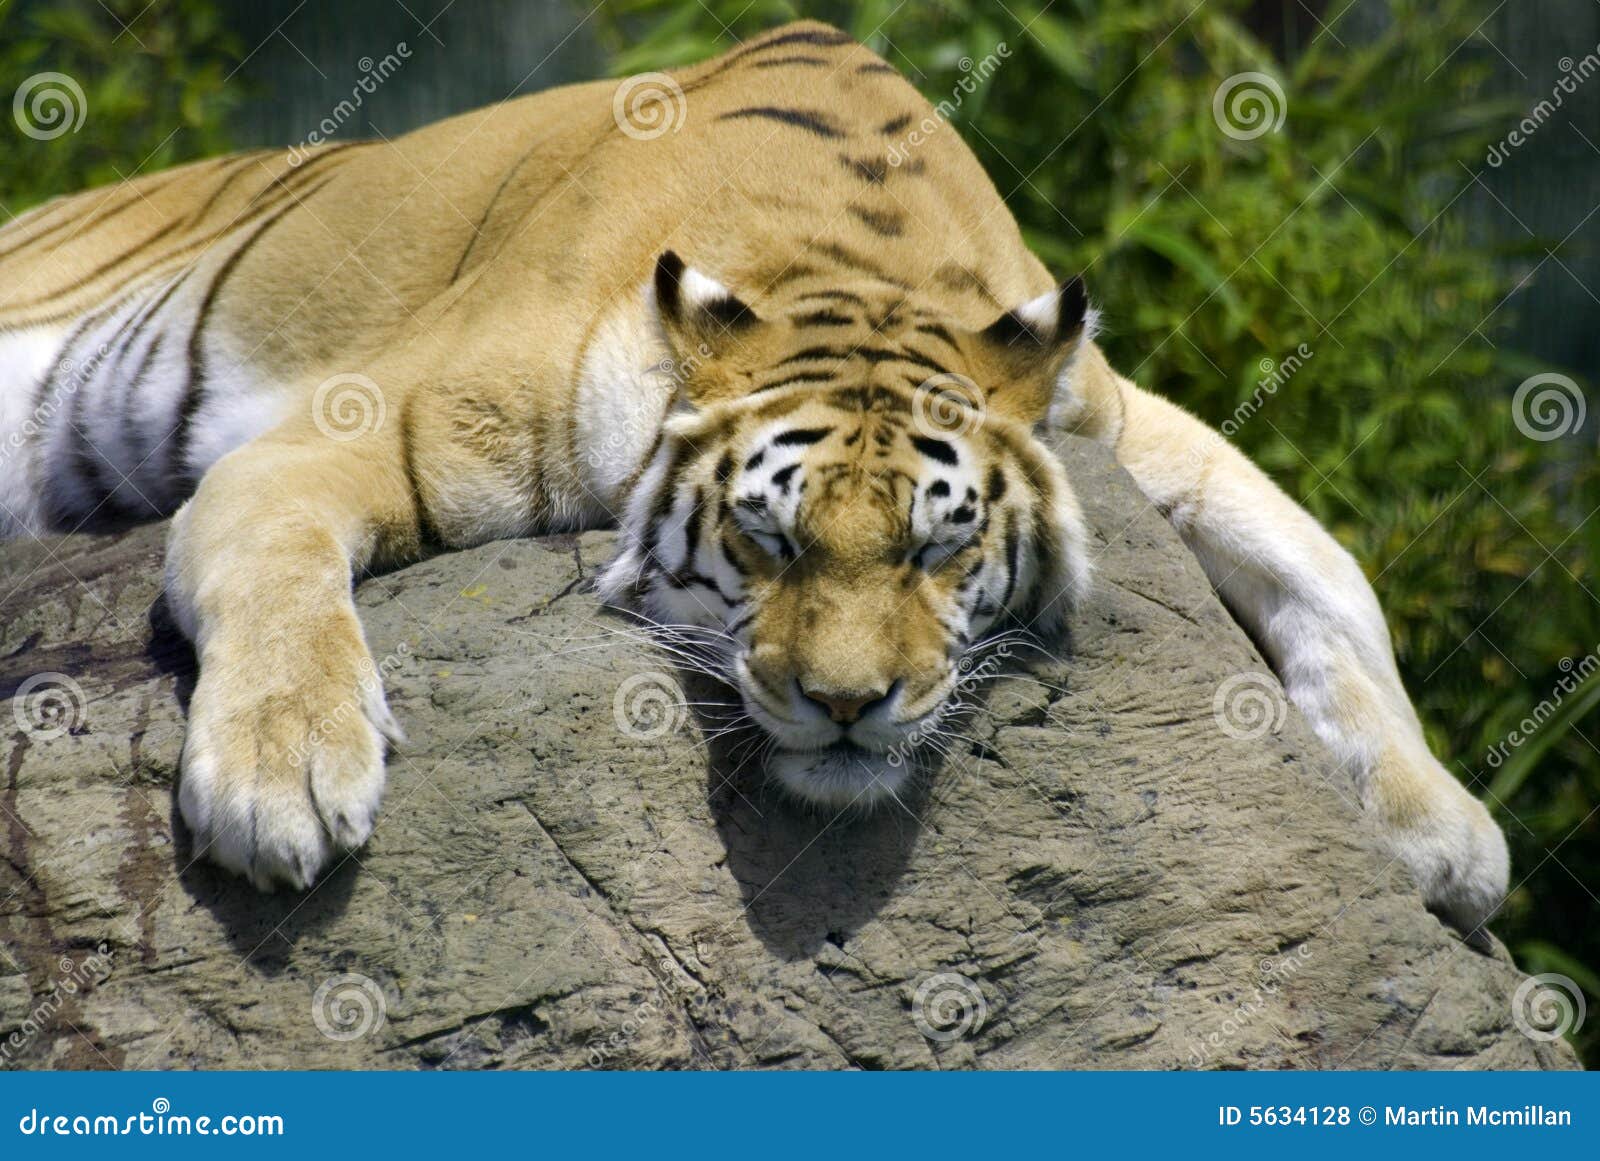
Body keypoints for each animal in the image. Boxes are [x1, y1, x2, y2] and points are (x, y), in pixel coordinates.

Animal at [0, 21, 1507, 935]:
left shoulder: (1105, 406)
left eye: (939, 548)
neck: (859, 267)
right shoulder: (369, 419)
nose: (847, 706)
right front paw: (285, 780)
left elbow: (1324, 563)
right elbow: (277, 557)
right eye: (766, 540)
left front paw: (1441, 831)